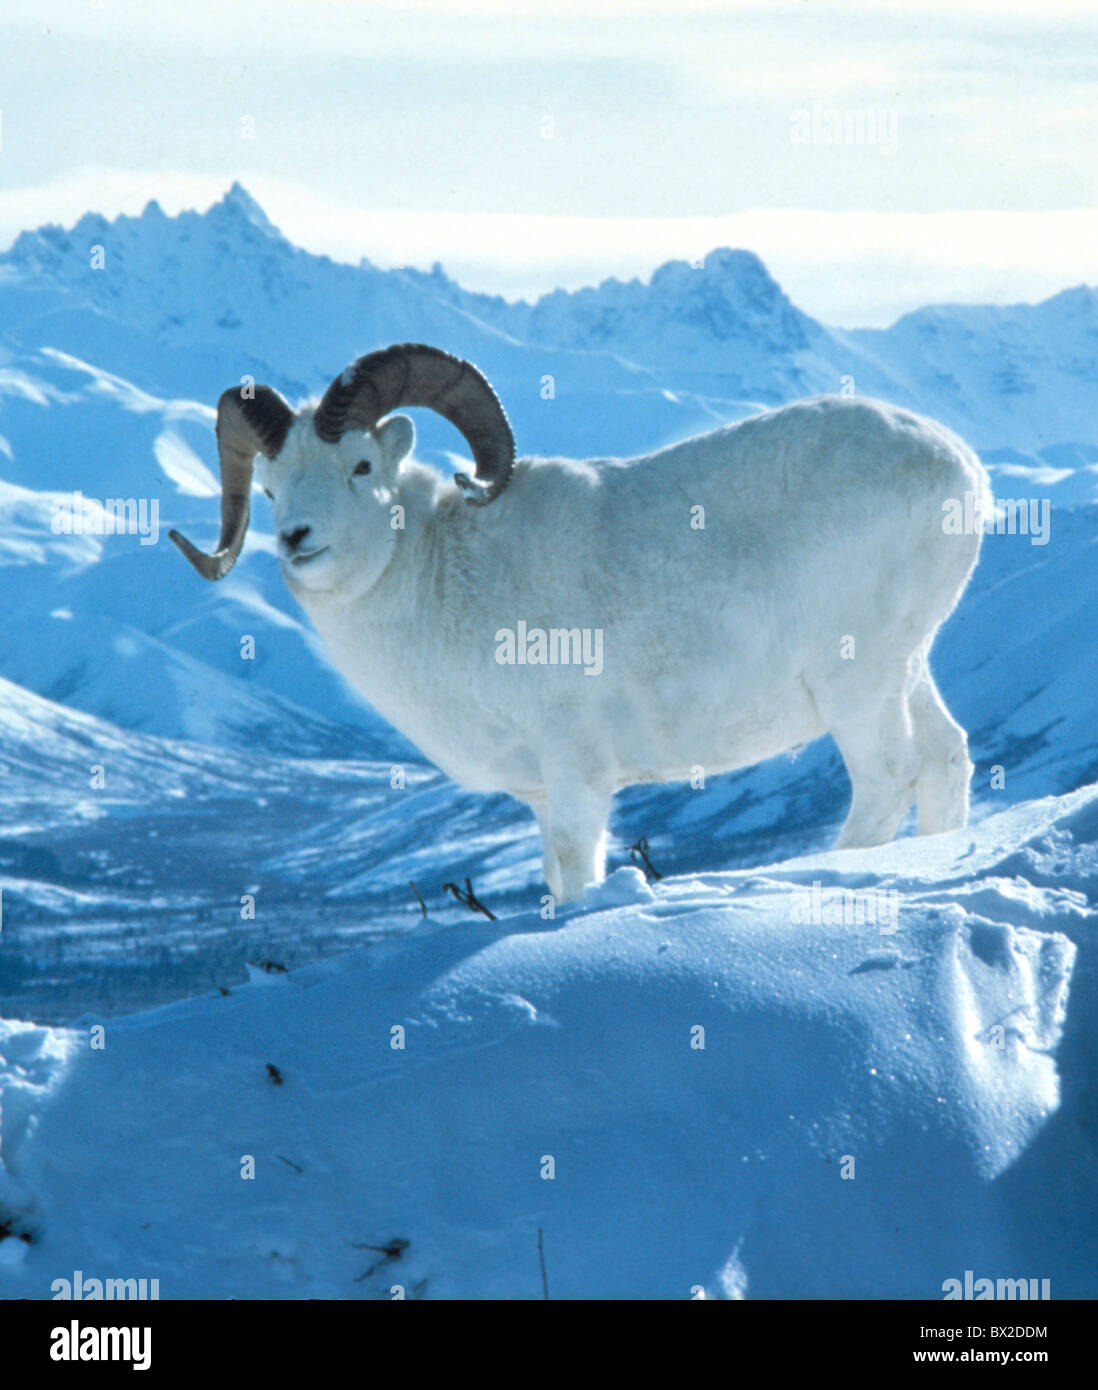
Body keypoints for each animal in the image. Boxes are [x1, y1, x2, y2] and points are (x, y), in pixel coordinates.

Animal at [170, 343, 990, 903]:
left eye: (361, 468)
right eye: (270, 488)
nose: (296, 539)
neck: (440, 581)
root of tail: (960, 467)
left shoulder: (577, 776)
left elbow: (574, 874)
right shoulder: (541, 795)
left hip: (855, 682)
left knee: (887, 779)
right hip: (907, 668)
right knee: (946, 758)